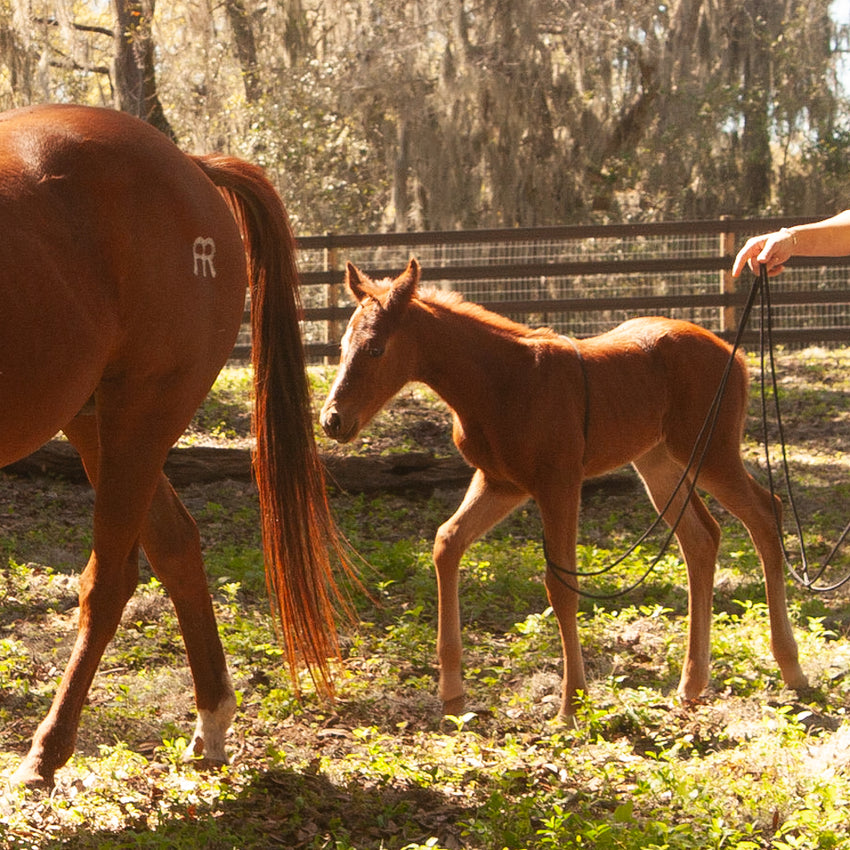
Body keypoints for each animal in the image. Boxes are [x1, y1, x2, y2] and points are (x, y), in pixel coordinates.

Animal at [0, 103, 345, 787]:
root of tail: (189, 165)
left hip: (139, 416)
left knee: (111, 580)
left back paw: (45, 754)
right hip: (98, 422)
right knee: (177, 545)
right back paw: (211, 722)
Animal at [320, 258, 808, 721]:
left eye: (377, 348)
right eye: (343, 347)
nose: (333, 420)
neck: (502, 382)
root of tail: (733, 353)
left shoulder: (559, 484)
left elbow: (562, 584)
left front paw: (572, 703)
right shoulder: (501, 483)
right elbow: (447, 541)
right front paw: (453, 695)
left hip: (711, 456)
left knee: (766, 512)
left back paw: (791, 667)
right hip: (660, 463)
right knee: (701, 538)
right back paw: (691, 683)